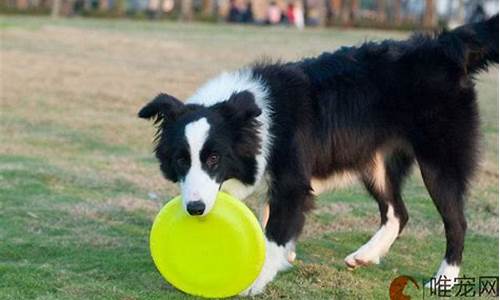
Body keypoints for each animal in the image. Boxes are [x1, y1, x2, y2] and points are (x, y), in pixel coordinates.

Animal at [139, 15, 498, 294]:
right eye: (181, 160)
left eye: (214, 159)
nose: (195, 209)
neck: (252, 119)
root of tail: (444, 48)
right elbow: (270, 219)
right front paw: (284, 258)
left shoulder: (292, 182)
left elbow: (275, 232)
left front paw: (256, 279)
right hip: (374, 162)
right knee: (398, 212)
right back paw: (366, 254)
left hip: (439, 159)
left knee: (456, 221)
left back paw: (445, 279)